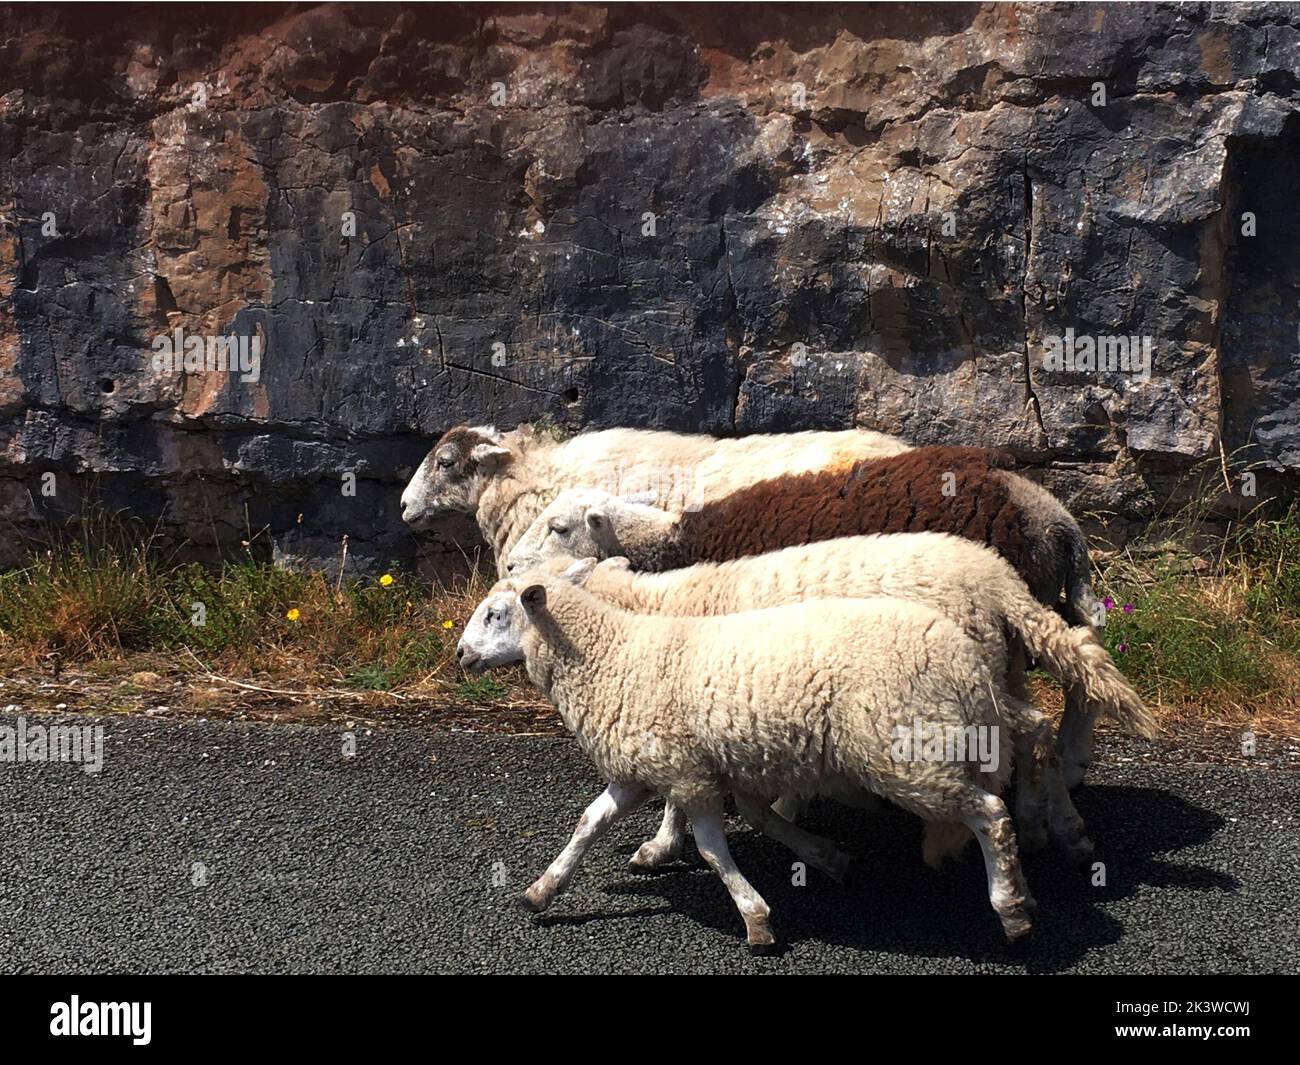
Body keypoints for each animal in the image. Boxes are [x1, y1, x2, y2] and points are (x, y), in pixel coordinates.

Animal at [456, 559, 1039, 950]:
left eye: (495, 615)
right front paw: (541, 891)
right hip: (934, 748)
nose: (460, 654)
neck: (609, 654)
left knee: (991, 815)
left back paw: (1011, 911)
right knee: (992, 809)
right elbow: (588, 824)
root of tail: (965, 663)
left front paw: (756, 919)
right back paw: (1023, 892)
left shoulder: (686, 775)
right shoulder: (640, 771)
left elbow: (714, 850)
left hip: (910, 754)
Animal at [506, 446, 1111, 788]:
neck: (675, 543)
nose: (508, 565)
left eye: (560, 527)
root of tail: (1049, 512)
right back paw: (1070, 762)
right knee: (1083, 660)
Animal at [522, 533, 1155, 868]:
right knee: (1037, 729)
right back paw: (1060, 827)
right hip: (996, 675)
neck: (650, 608)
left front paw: (661, 843)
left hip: (965, 684)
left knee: (1031, 733)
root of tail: (998, 579)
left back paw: (1034, 823)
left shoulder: (681, 704)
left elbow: (682, 793)